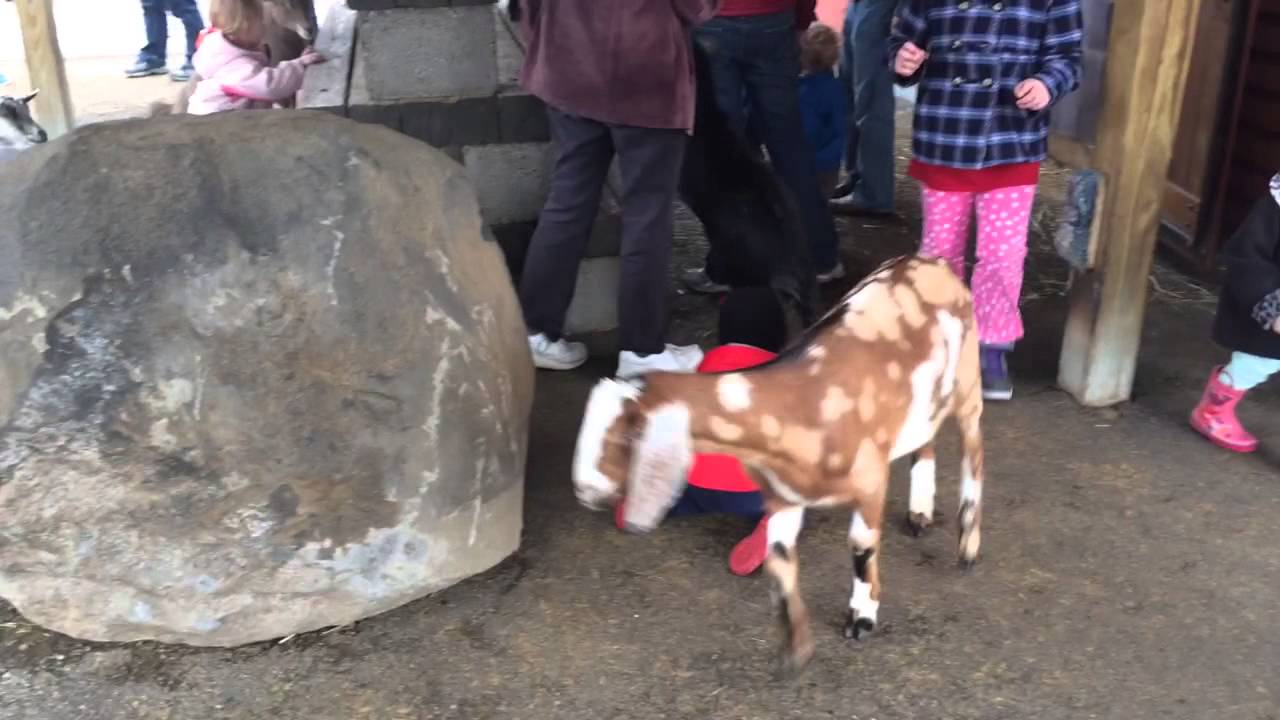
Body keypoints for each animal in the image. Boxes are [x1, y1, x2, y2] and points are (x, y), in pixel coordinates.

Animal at [572, 255, 986, 674]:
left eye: (627, 437)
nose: (586, 491)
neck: (800, 404)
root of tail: (930, 261)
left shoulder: (870, 482)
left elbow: (861, 549)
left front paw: (861, 617)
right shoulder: (783, 497)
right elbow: (779, 563)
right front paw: (796, 647)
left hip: (968, 387)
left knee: (973, 457)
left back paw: (968, 545)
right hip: (927, 400)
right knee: (925, 443)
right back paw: (920, 512)